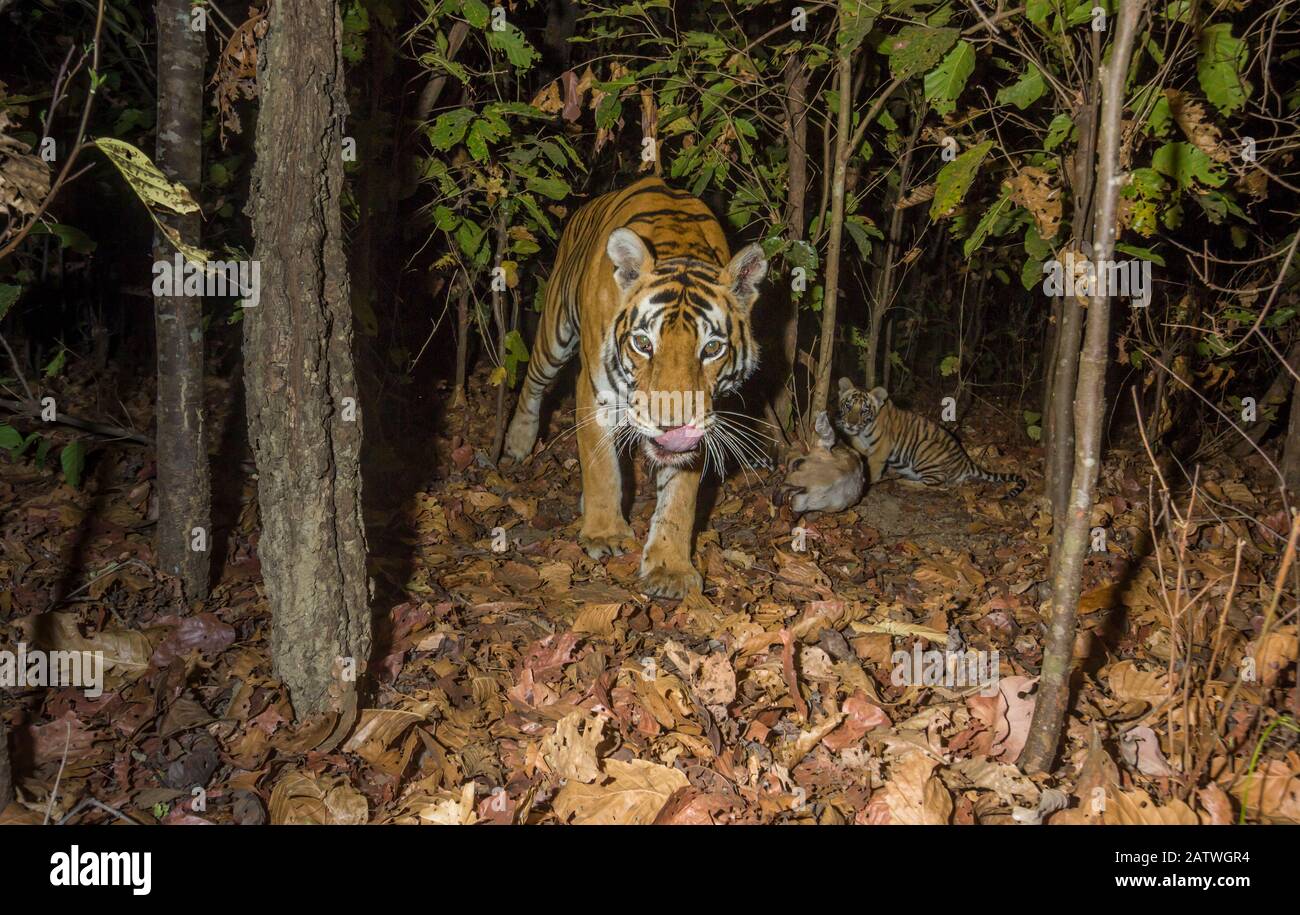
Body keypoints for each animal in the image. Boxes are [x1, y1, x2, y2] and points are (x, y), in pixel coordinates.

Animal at [503, 178, 768, 598]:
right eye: (644, 343)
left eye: (712, 348)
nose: (672, 425)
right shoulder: (594, 394)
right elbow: (602, 469)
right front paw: (605, 534)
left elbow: (678, 499)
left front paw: (670, 568)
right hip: (555, 332)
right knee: (533, 382)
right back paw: (517, 443)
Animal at [836, 378, 1026, 497]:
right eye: (848, 406)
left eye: (864, 411)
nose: (850, 424)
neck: (862, 431)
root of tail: (965, 460)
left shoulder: (881, 450)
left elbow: (873, 468)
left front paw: (869, 482)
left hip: (925, 448)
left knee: (936, 485)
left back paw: (905, 483)